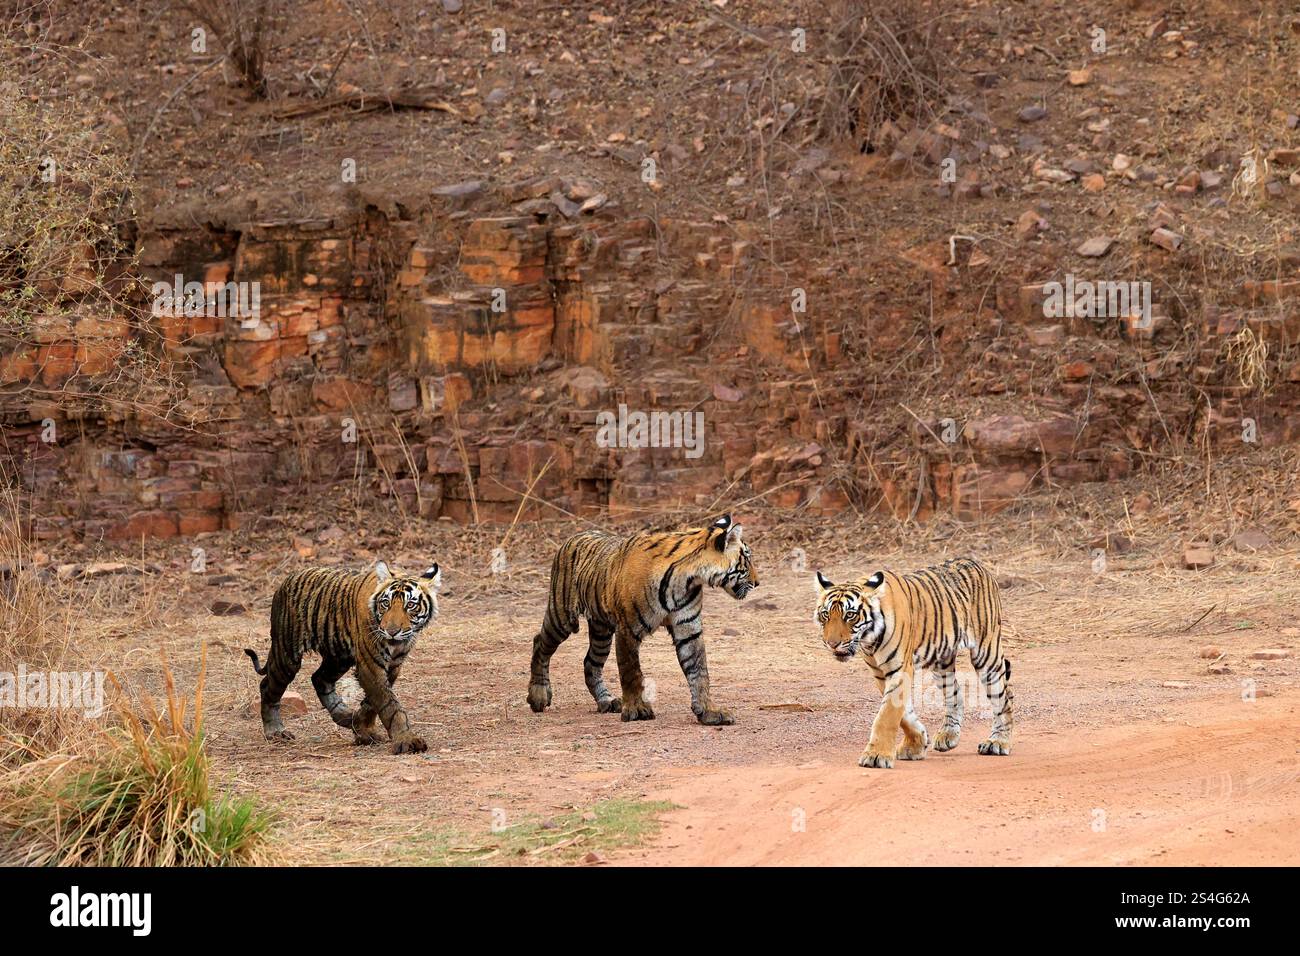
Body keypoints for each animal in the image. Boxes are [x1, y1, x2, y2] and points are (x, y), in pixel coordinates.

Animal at [243, 561, 441, 755]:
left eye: (410, 605)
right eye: (386, 603)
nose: (391, 631)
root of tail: (284, 582)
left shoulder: (393, 666)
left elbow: (372, 703)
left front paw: (362, 728)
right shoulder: (370, 666)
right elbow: (389, 705)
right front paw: (406, 740)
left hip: (338, 659)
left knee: (319, 679)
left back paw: (345, 715)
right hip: (288, 655)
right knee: (268, 686)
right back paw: (275, 731)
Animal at [527, 514, 758, 725]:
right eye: (747, 560)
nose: (757, 583)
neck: (689, 578)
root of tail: (574, 536)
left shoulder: (688, 628)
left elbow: (699, 670)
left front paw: (709, 711)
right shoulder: (627, 629)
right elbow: (631, 672)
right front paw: (637, 710)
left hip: (601, 631)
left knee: (590, 663)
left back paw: (606, 701)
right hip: (562, 618)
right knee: (540, 643)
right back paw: (538, 696)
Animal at [813, 556, 1013, 769]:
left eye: (850, 615)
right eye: (825, 614)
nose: (831, 643)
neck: (869, 639)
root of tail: (975, 562)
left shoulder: (899, 669)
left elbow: (887, 714)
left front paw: (876, 756)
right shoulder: (880, 673)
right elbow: (904, 714)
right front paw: (915, 745)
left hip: (986, 654)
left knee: (1003, 697)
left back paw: (998, 742)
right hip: (942, 663)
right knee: (955, 694)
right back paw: (948, 735)